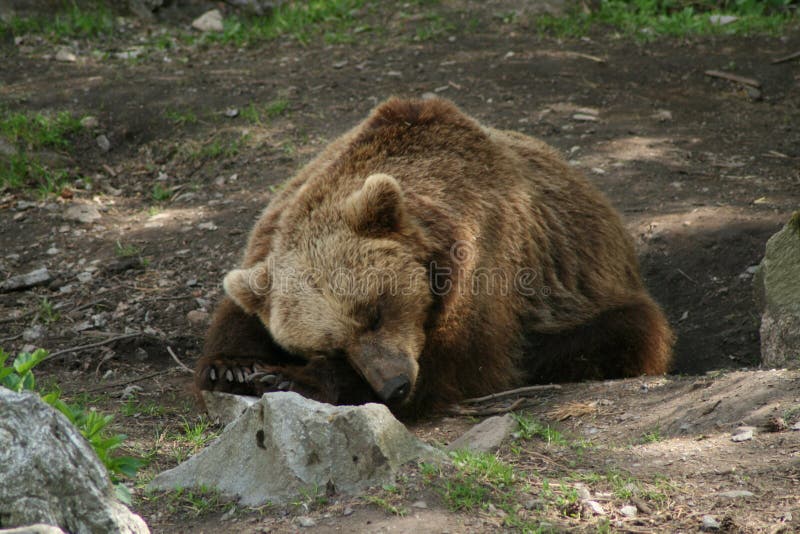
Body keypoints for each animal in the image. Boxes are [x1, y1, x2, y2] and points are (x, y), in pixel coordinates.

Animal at [194, 97, 674, 419]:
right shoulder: (274, 233)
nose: (394, 385)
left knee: (621, 332)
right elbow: (239, 306)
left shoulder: (489, 257)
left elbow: (459, 363)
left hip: (588, 294)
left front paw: (291, 377)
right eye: (330, 343)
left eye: (374, 313)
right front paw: (232, 368)